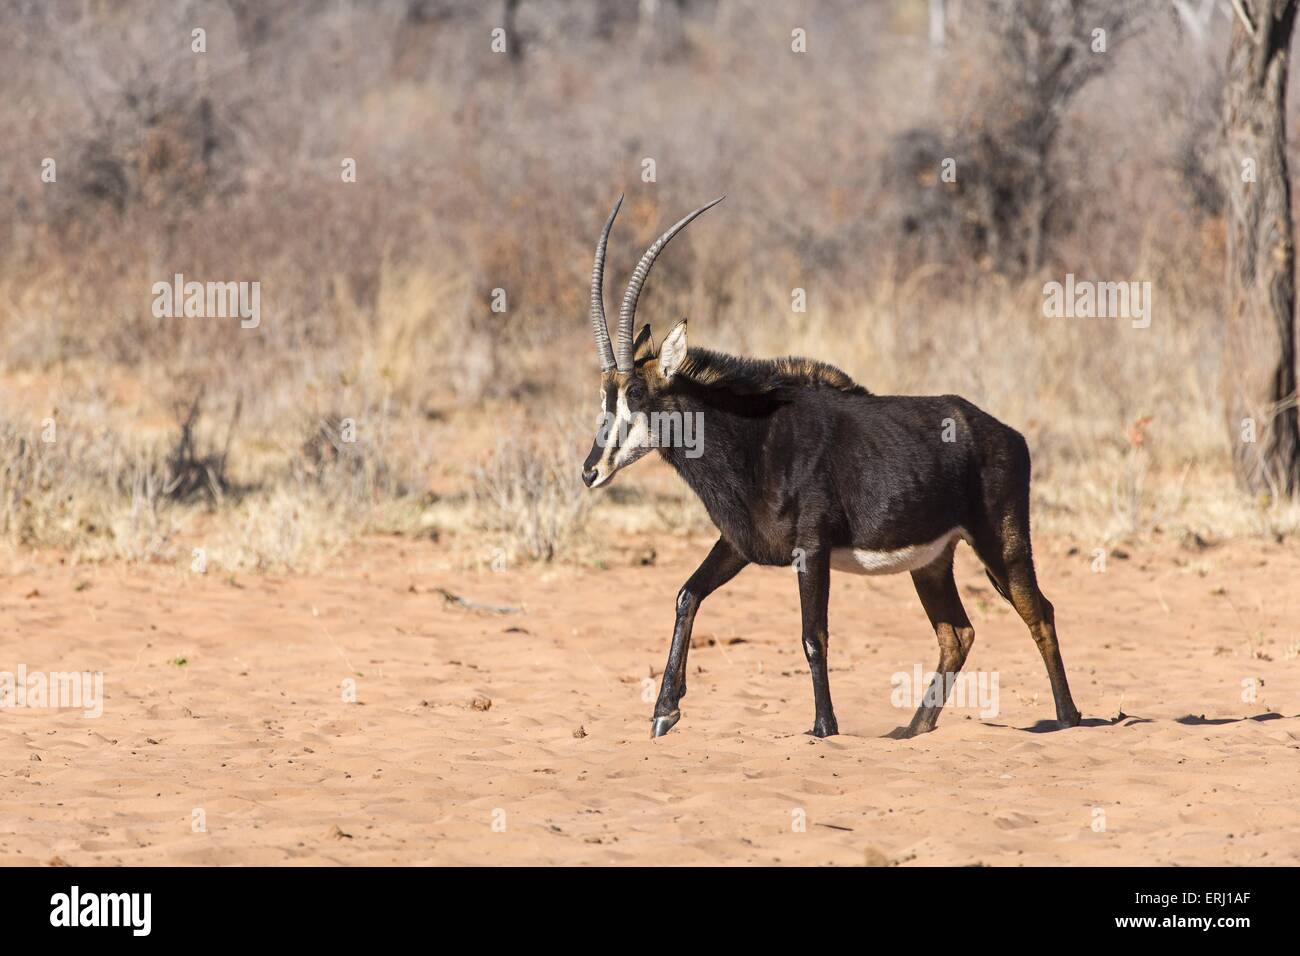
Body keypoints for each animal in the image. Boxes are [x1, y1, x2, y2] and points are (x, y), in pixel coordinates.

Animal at [581, 196, 1082, 740]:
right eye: (605, 394)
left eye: (637, 393)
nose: (590, 472)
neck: (755, 439)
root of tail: (1009, 435)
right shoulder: (739, 545)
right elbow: (686, 595)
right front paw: (664, 711)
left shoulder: (812, 549)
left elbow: (812, 634)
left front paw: (824, 727)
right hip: (932, 562)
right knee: (958, 633)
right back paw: (912, 730)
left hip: (1001, 545)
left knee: (1040, 613)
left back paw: (1067, 718)